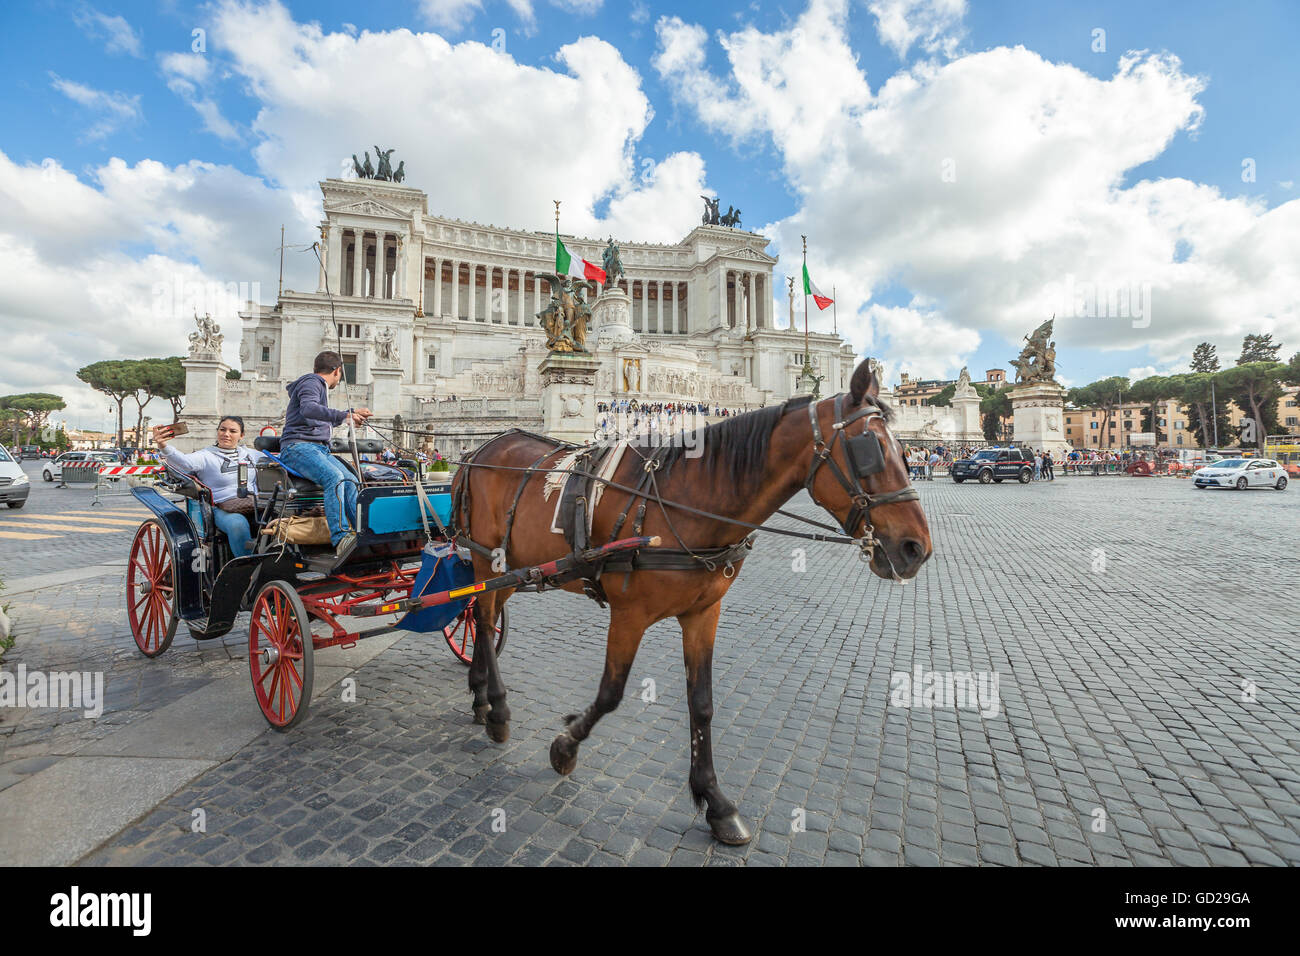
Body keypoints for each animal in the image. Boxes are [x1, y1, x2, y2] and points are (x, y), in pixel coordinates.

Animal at [449, 358, 931, 844]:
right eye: (869, 449)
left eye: (903, 450)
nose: (916, 549)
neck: (684, 499)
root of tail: (478, 449)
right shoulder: (630, 615)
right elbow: (610, 694)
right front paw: (565, 748)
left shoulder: (703, 613)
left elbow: (702, 703)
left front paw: (715, 802)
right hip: (484, 558)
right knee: (485, 624)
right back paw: (497, 710)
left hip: (511, 567)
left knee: (482, 616)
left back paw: (479, 696)